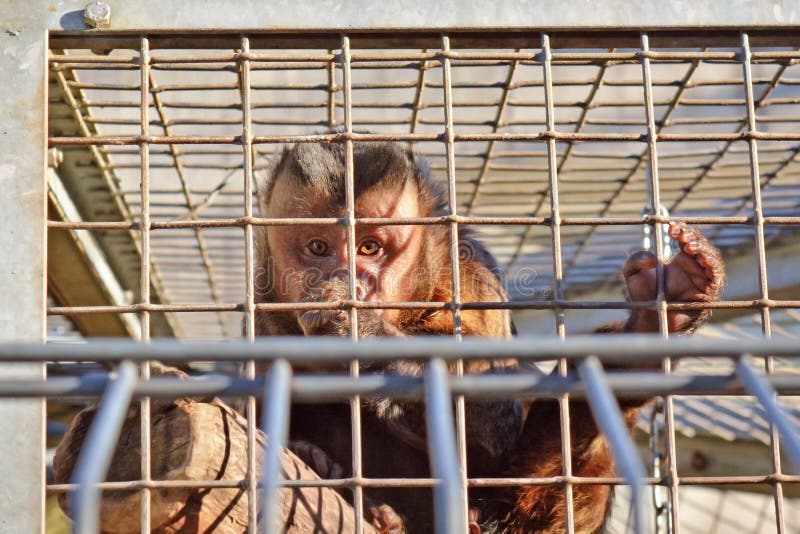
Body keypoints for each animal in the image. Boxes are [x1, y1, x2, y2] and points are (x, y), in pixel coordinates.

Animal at [253, 137, 726, 533]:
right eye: (318, 248)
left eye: (371, 248)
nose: (352, 281)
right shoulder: (263, 313)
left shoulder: (471, 276)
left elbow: (494, 426)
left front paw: (357, 326)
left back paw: (649, 335)